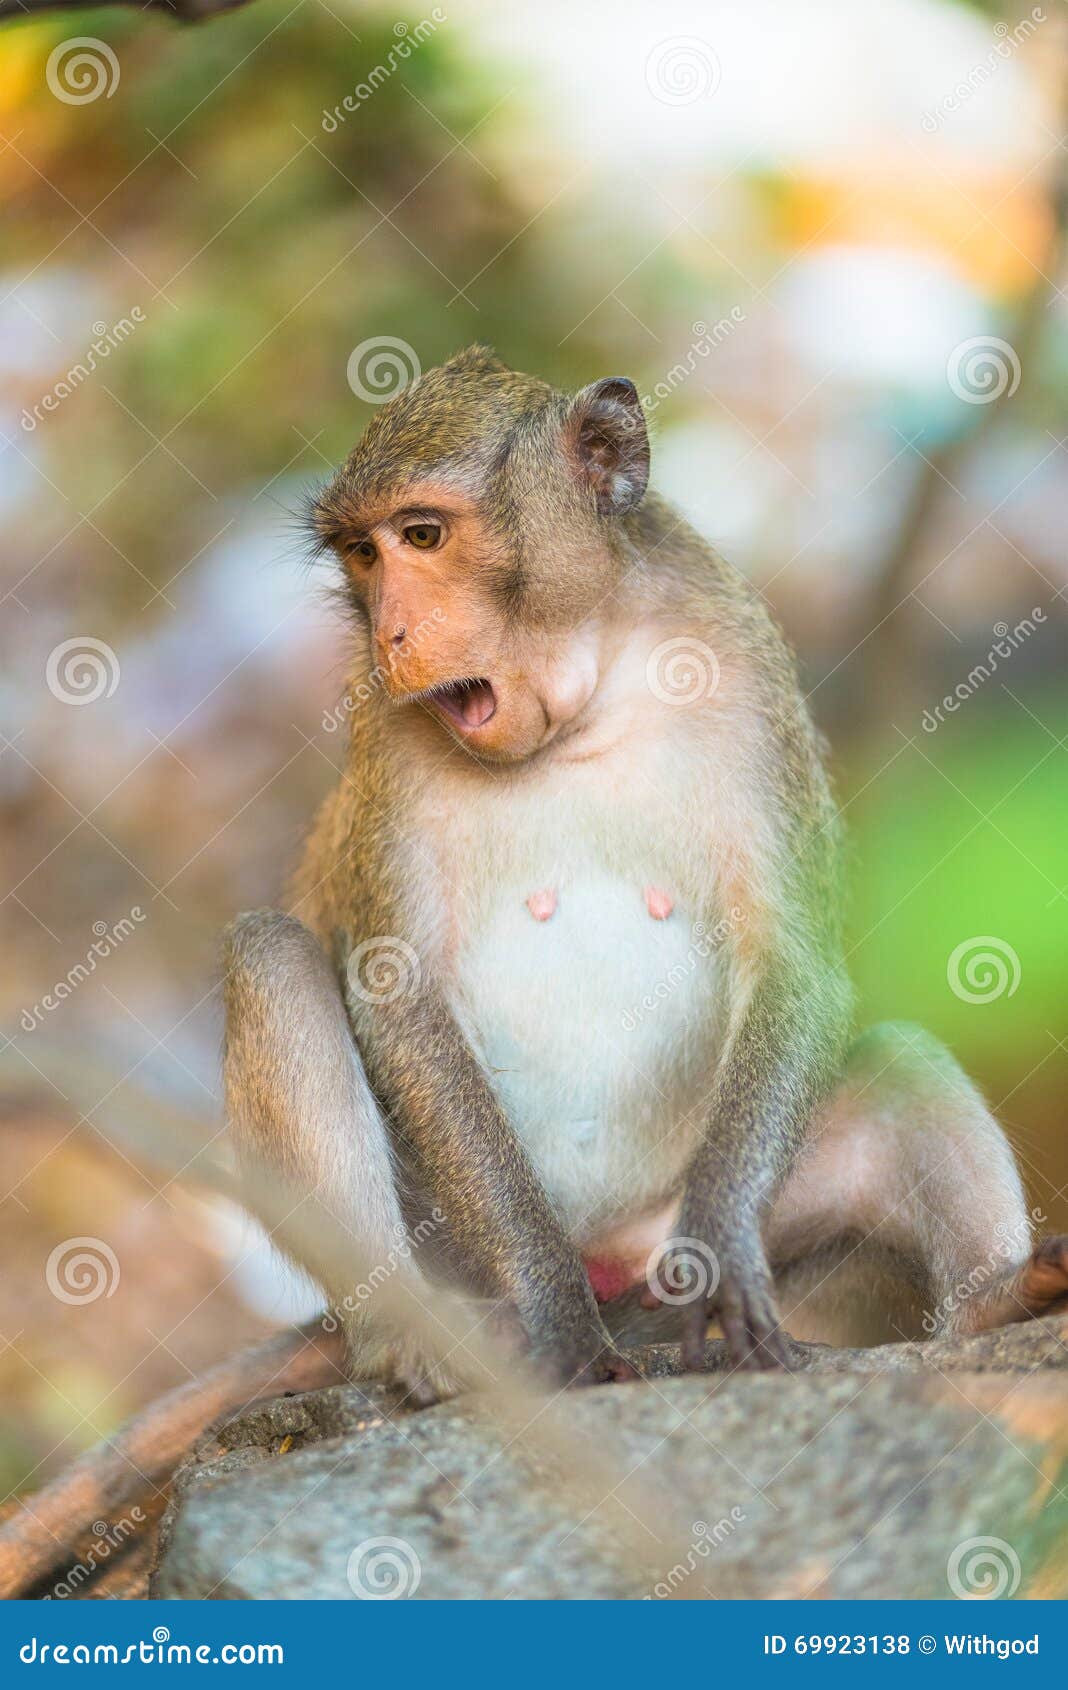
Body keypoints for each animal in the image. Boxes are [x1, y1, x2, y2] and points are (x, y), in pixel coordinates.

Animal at [219, 344, 1068, 1397]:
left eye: (421, 534)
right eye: (364, 557)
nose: (392, 636)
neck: (592, 686)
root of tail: (613, 1259)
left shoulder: (742, 668)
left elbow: (795, 960)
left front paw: (725, 1249)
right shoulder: (385, 724)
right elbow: (396, 990)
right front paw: (555, 1315)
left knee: (898, 1060)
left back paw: (996, 1300)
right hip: (448, 1249)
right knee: (272, 957)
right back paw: (413, 1337)